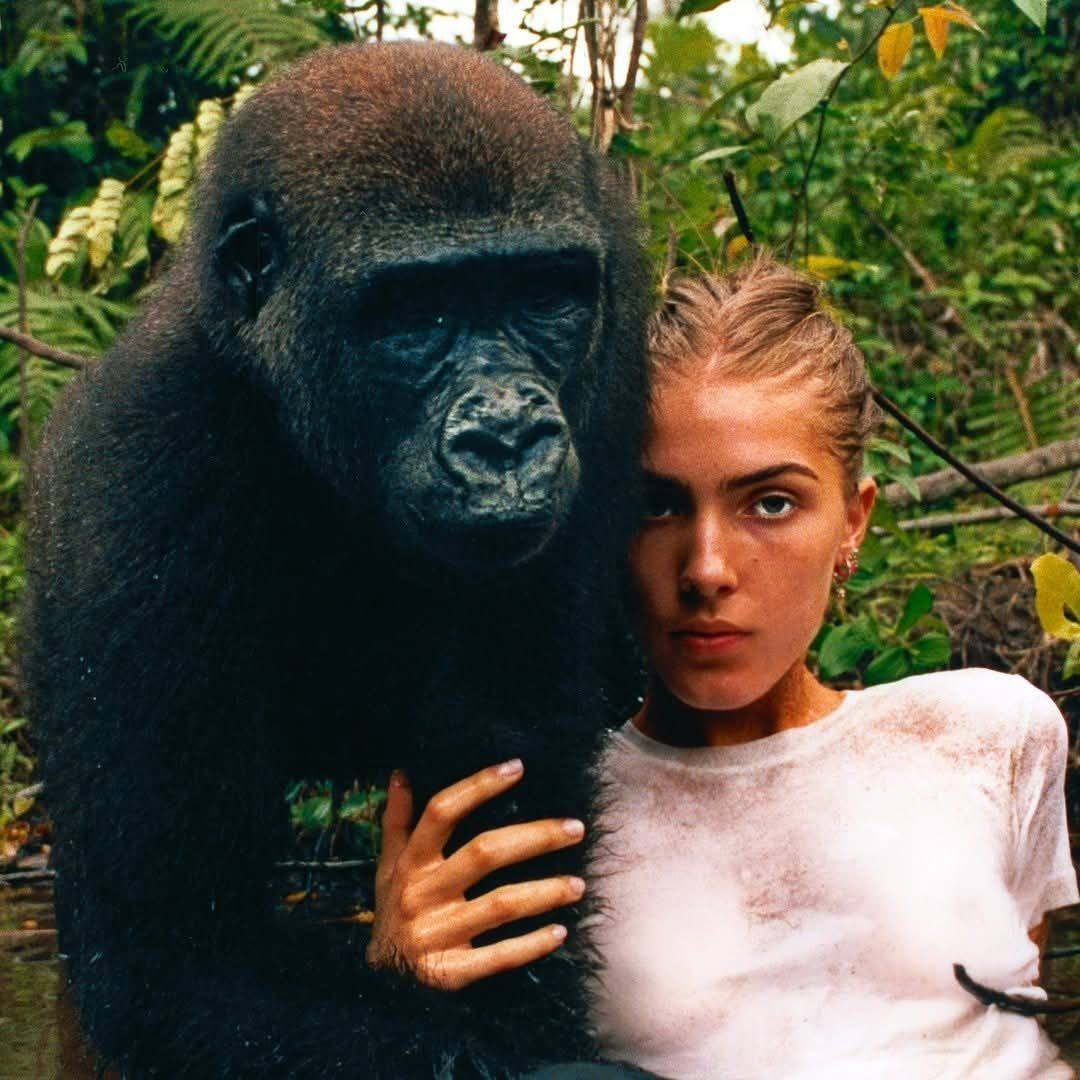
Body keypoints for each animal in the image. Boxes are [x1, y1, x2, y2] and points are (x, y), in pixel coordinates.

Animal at [23, 41, 652, 1078]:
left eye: (544, 296)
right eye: (415, 314)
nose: (510, 439)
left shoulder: (608, 365)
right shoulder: (140, 469)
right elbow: (183, 968)